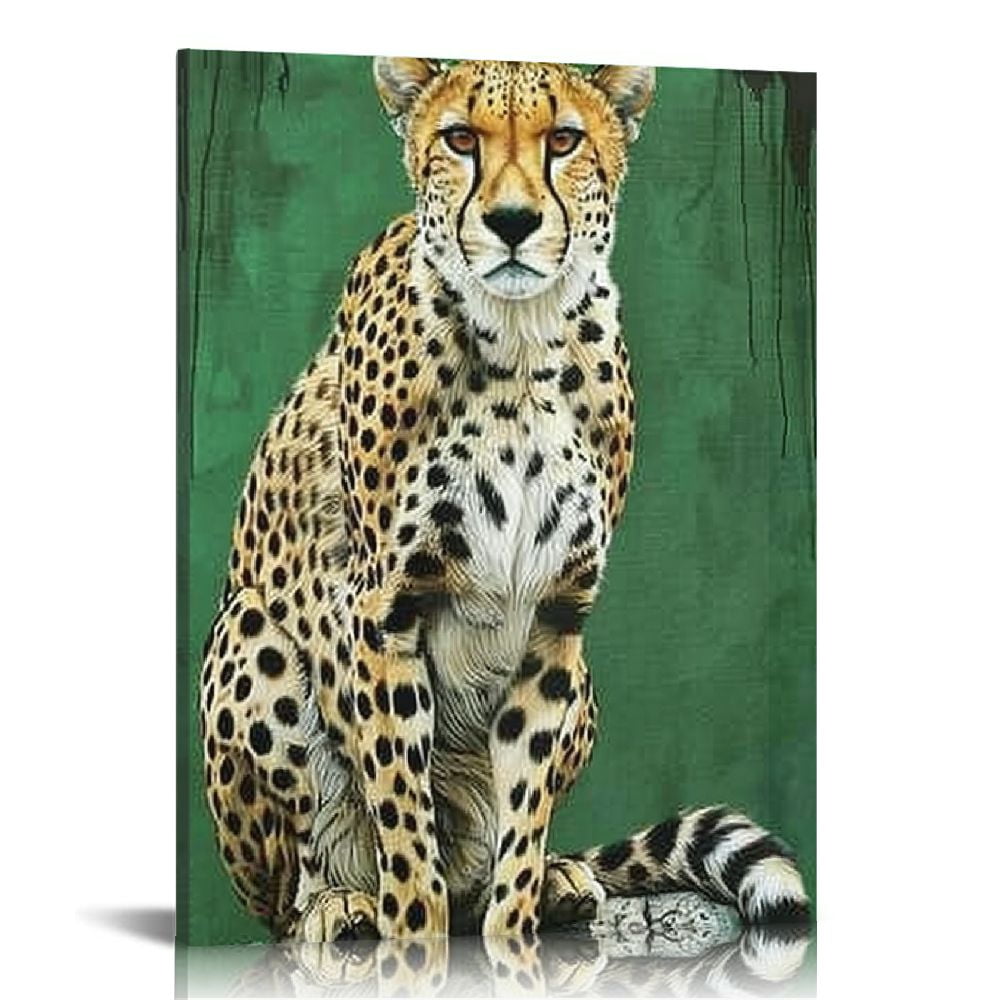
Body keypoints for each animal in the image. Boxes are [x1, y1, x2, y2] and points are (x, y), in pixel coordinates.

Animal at [198, 57, 811, 959]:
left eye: (564, 140)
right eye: (460, 139)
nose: (514, 222)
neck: (521, 338)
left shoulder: (557, 615)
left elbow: (523, 806)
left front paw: (516, 923)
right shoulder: (385, 610)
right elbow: (403, 817)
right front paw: (409, 936)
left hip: (586, 682)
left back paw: (551, 883)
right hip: (249, 639)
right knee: (297, 891)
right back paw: (339, 905)